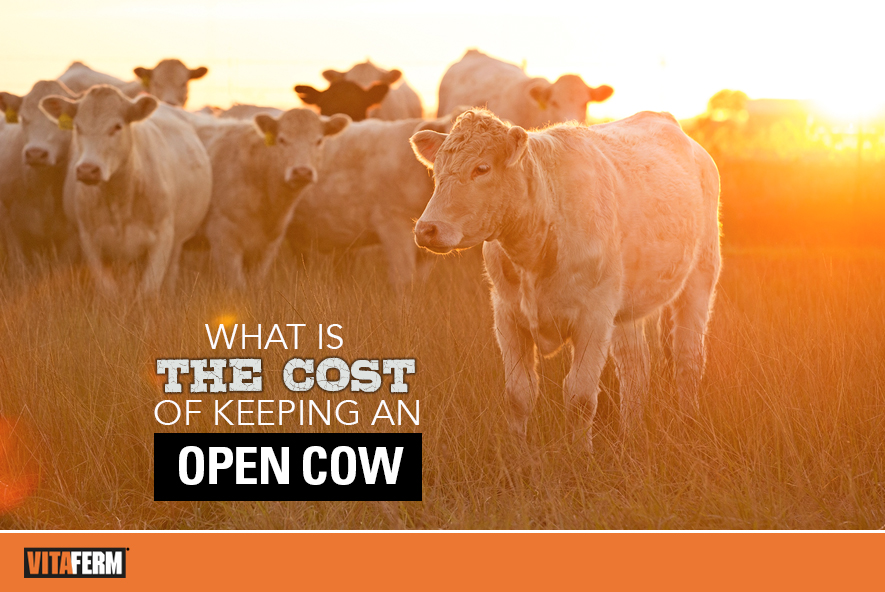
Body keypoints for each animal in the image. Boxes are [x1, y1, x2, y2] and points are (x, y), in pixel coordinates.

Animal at [39, 85, 211, 297]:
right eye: (77, 127)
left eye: (117, 127)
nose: (87, 169)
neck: (119, 197)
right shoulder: (89, 239)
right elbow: (108, 290)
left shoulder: (163, 237)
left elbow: (148, 290)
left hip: (178, 240)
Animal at [193, 109, 349, 288]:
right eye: (281, 139)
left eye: (319, 140)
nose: (302, 171)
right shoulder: (224, 239)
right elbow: (237, 285)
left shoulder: (268, 246)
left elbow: (256, 283)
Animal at [410, 109, 721, 448]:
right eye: (437, 169)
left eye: (482, 168)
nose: (427, 229)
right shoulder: (507, 314)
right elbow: (518, 394)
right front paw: (518, 452)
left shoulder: (594, 317)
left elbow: (580, 396)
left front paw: (581, 454)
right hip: (627, 308)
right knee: (635, 368)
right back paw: (630, 435)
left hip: (700, 278)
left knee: (688, 359)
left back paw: (687, 425)